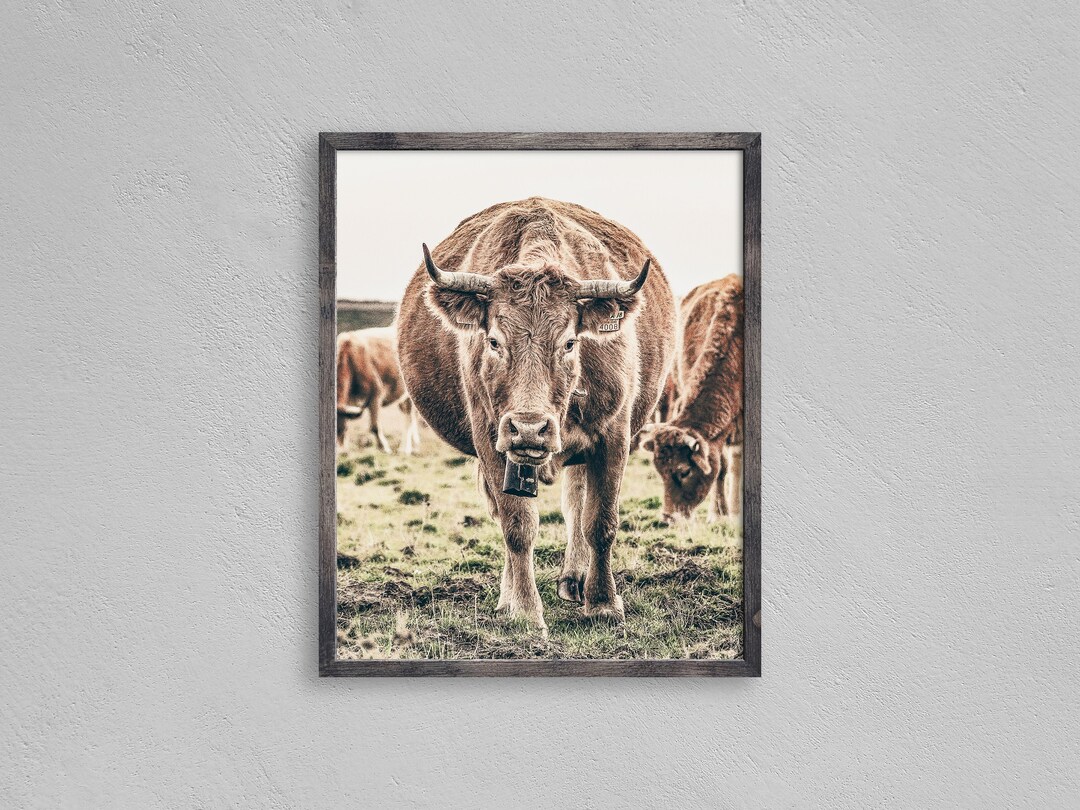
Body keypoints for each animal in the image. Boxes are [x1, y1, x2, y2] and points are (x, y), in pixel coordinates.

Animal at [397, 197, 676, 631]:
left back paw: (575, 579)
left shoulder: (614, 437)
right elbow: (517, 527)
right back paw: (509, 597)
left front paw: (603, 602)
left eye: (569, 342)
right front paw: (526, 611)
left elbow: (600, 522)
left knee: (576, 505)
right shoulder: (492, 440)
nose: (530, 428)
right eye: (494, 341)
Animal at [643, 275, 744, 524]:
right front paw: (717, 513)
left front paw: (734, 512)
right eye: (660, 471)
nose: (669, 517)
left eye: (684, 471)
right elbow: (722, 467)